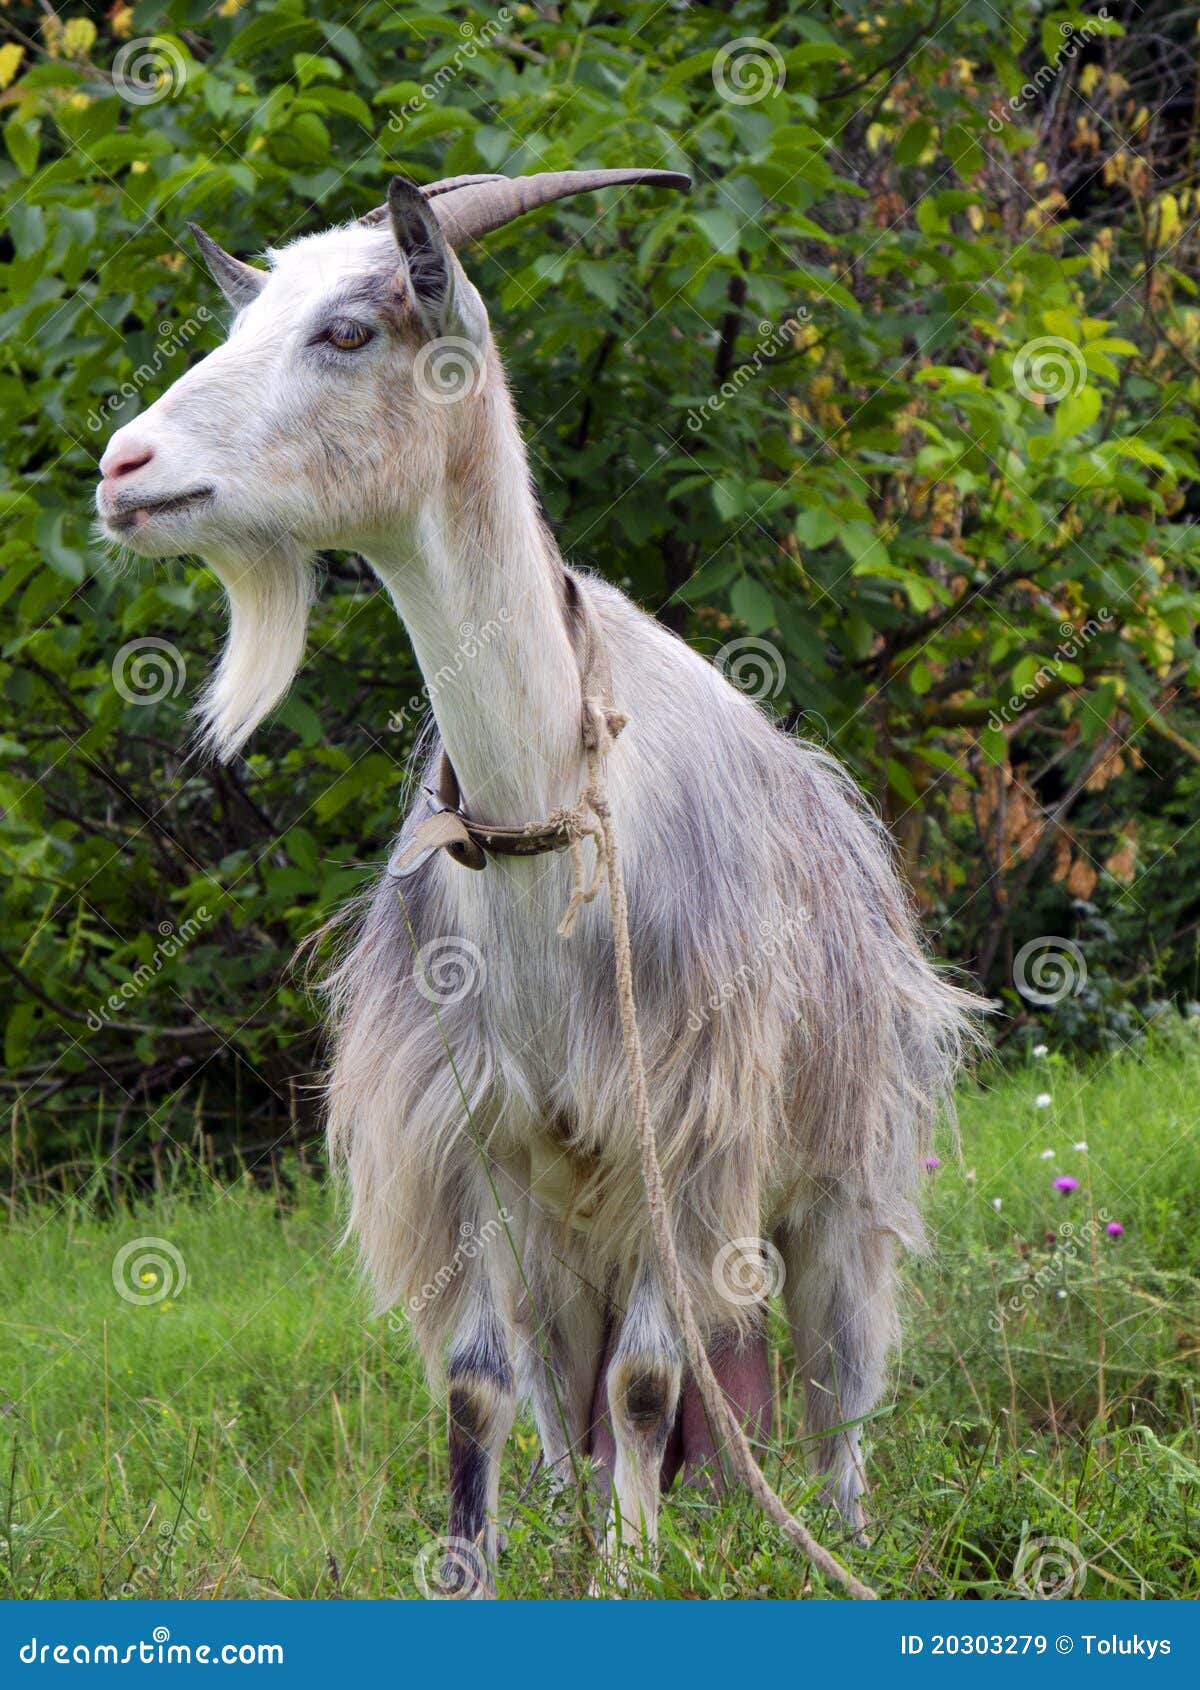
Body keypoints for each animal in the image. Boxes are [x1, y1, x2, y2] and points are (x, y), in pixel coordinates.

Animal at [95, 167, 980, 1594]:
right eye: (245, 320)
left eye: (349, 329)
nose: (124, 469)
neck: (547, 826)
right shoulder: (468, 1139)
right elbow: (480, 1386)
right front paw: (490, 1569)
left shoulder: (688, 1125)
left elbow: (648, 1383)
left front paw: (633, 1576)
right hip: (565, 1231)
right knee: (568, 1393)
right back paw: (577, 1525)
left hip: (835, 1180)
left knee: (836, 1391)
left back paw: (839, 1538)